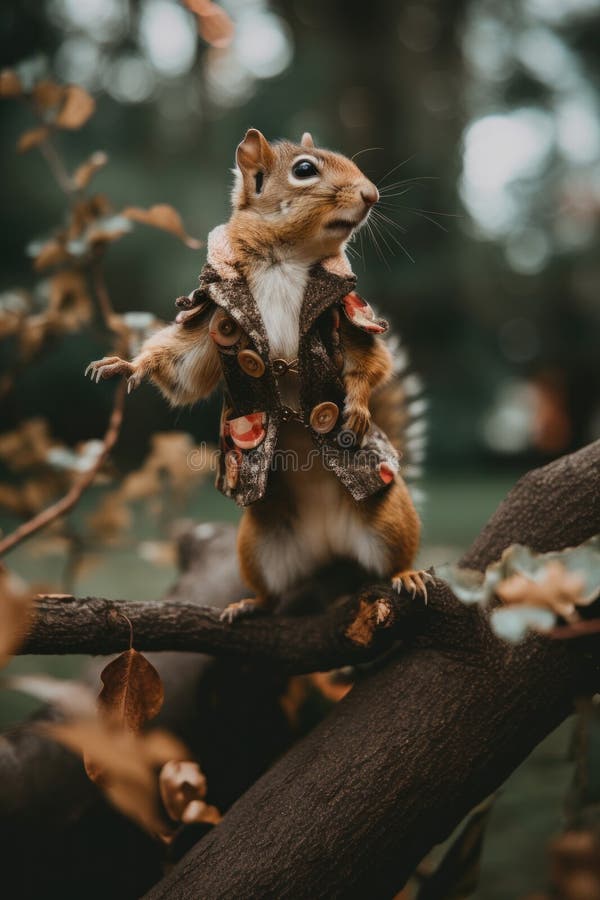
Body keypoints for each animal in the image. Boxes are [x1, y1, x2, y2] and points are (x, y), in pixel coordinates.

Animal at [86, 129, 430, 622]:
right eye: (304, 169)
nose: (372, 195)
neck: (284, 259)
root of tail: (329, 549)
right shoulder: (212, 314)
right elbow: (183, 365)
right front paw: (124, 365)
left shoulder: (345, 313)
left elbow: (369, 362)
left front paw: (358, 406)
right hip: (258, 543)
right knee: (272, 591)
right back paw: (249, 603)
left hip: (389, 518)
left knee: (390, 558)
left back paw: (406, 574)